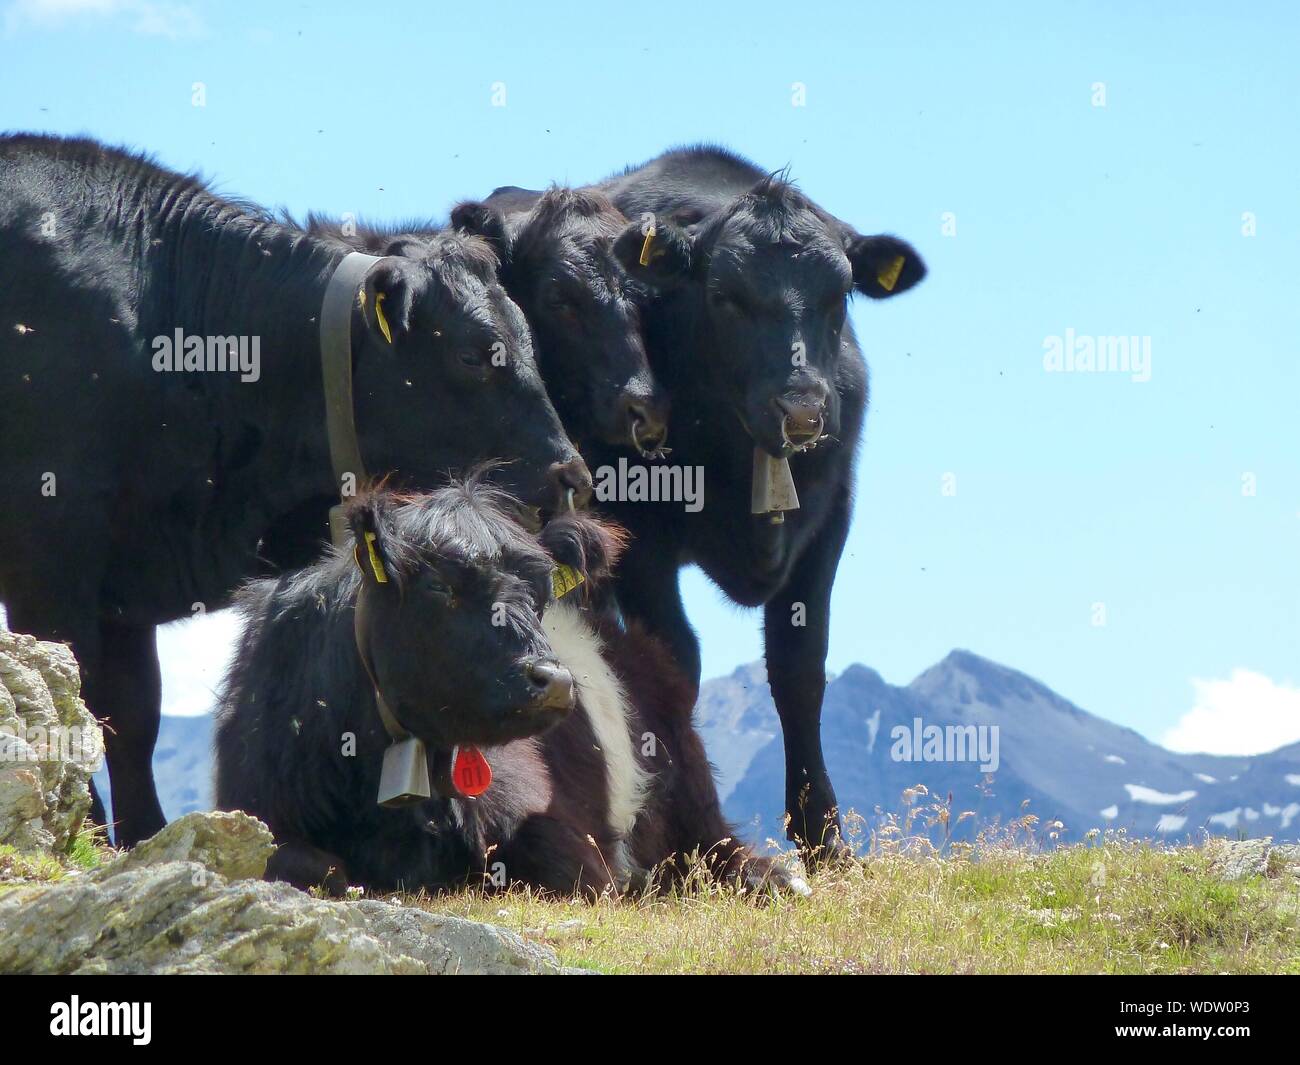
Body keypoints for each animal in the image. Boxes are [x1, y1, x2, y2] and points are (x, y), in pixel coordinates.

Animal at [0, 133, 587, 846]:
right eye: (474, 354)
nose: (573, 477)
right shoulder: (47, 571)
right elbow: (70, 705)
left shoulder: (122, 590)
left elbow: (131, 716)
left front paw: (143, 834)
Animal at [214, 477, 803, 899]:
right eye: (441, 587)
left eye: (539, 595)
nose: (555, 681)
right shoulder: (254, 808)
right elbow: (310, 866)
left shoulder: (547, 823)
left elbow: (575, 872)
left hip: (694, 798)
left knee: (721, 852)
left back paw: (778, 880)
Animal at [489, 146, 927, 864]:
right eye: (725, 296)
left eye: (838, 294)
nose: (802, 407)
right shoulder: (638, 536)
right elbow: (674, 661)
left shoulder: (830, 521)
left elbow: (800, 668)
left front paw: (824, 837)